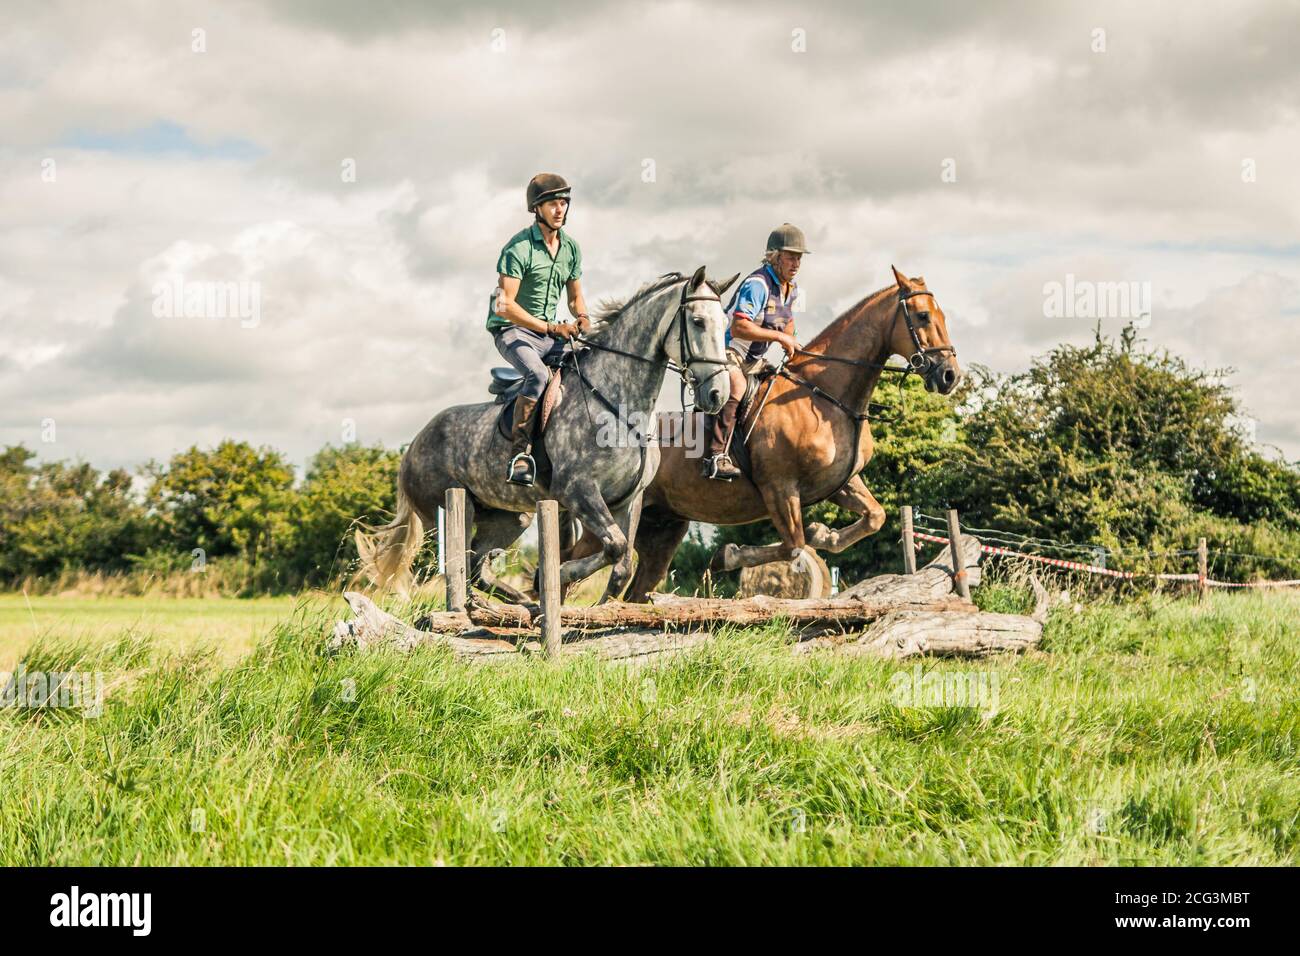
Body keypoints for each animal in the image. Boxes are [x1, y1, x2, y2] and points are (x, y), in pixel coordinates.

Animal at [354, 266, 738, 604]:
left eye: (725, 324)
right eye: (698, 322)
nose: (717, 394)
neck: (619, 401)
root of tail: (412, 447)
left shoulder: (630, 499)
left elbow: (623, 563)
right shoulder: (578, 490)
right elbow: (613, 547)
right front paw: (555, 575)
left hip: (510, 517)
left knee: (477, 566)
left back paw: (517, 602)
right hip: (451, 510)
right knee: (457, 565)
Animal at [564, 265, 962, 601]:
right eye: (923, 316)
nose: (949, 375)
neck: (821, 394)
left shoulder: (841, 483)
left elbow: (873, 517)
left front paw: (826, 534)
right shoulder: (780, 487)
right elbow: (794, 545)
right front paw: (729, 555)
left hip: (660, 528)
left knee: (636, 584)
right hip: (607, 516)